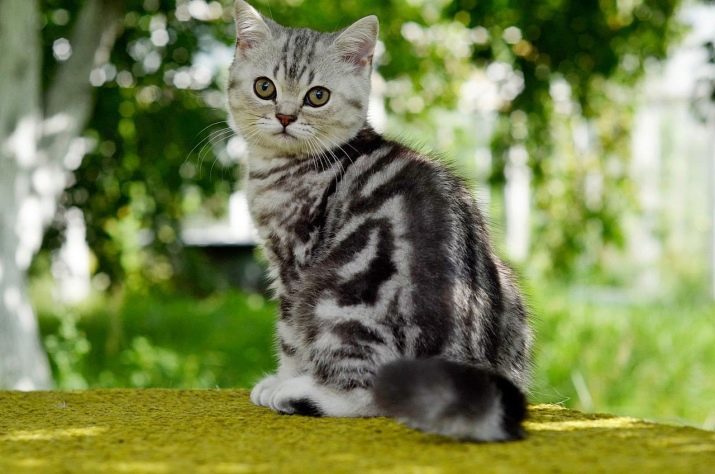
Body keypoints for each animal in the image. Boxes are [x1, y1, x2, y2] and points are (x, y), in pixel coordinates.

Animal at [227, 0, 536, 440]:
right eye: (264, 87)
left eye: (317, 96)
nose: (285, 117)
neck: (283, 167)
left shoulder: (295, 264)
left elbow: (290, 337)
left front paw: (284, 377)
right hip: (508, 291)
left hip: (338, 295)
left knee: (368, 393)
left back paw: (298, 393)